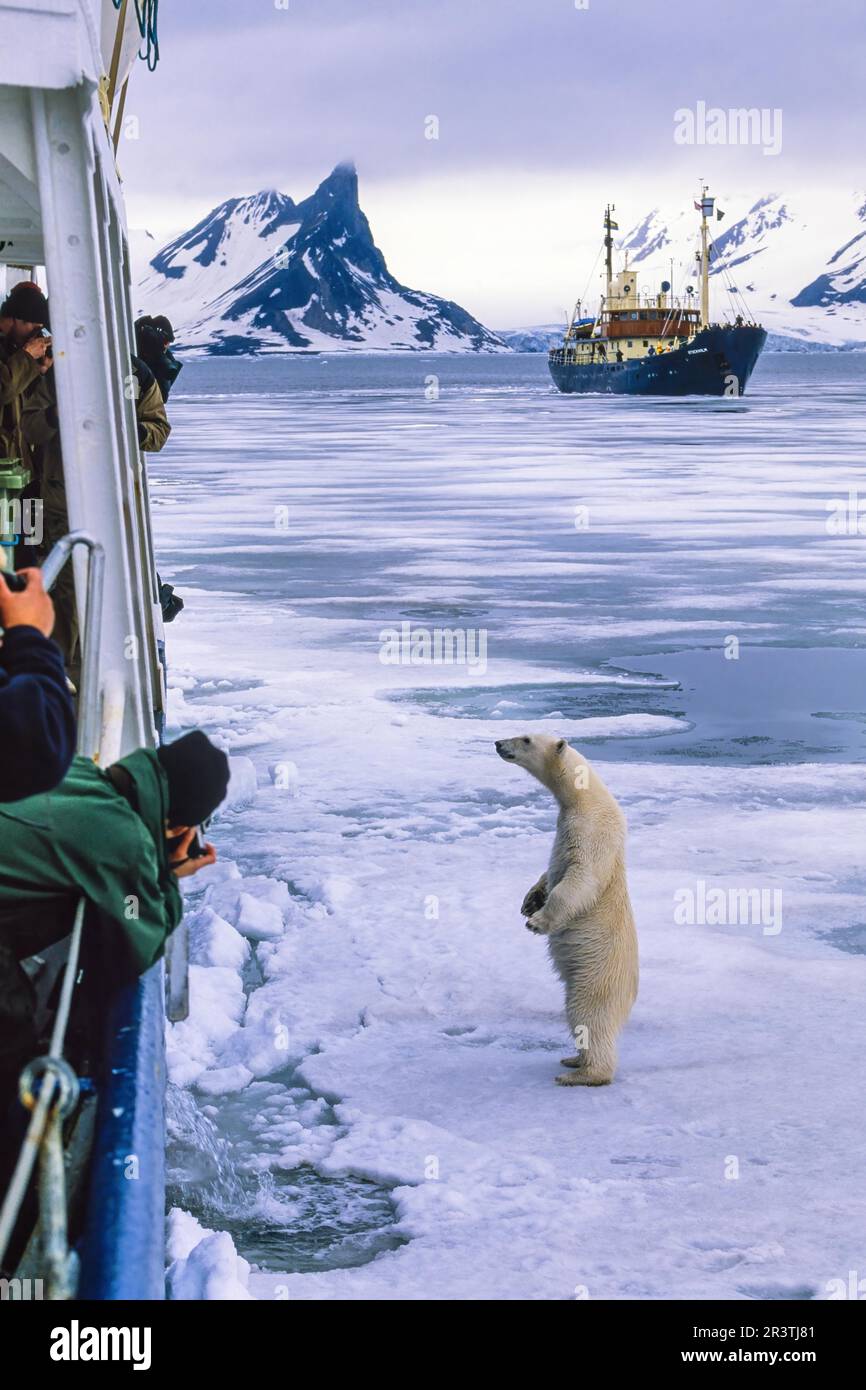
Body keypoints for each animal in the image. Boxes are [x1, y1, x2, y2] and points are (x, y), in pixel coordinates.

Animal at [495, 734, 638, 1086]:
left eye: (525, 738)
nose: (498, 743)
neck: (585, 798)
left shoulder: (592, 831)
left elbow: (580, 878)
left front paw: (537, 921)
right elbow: (549, 874)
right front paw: (530, 900)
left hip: (597, 974)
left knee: (587, 1015)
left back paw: (584, 1074)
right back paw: (572, 1059)